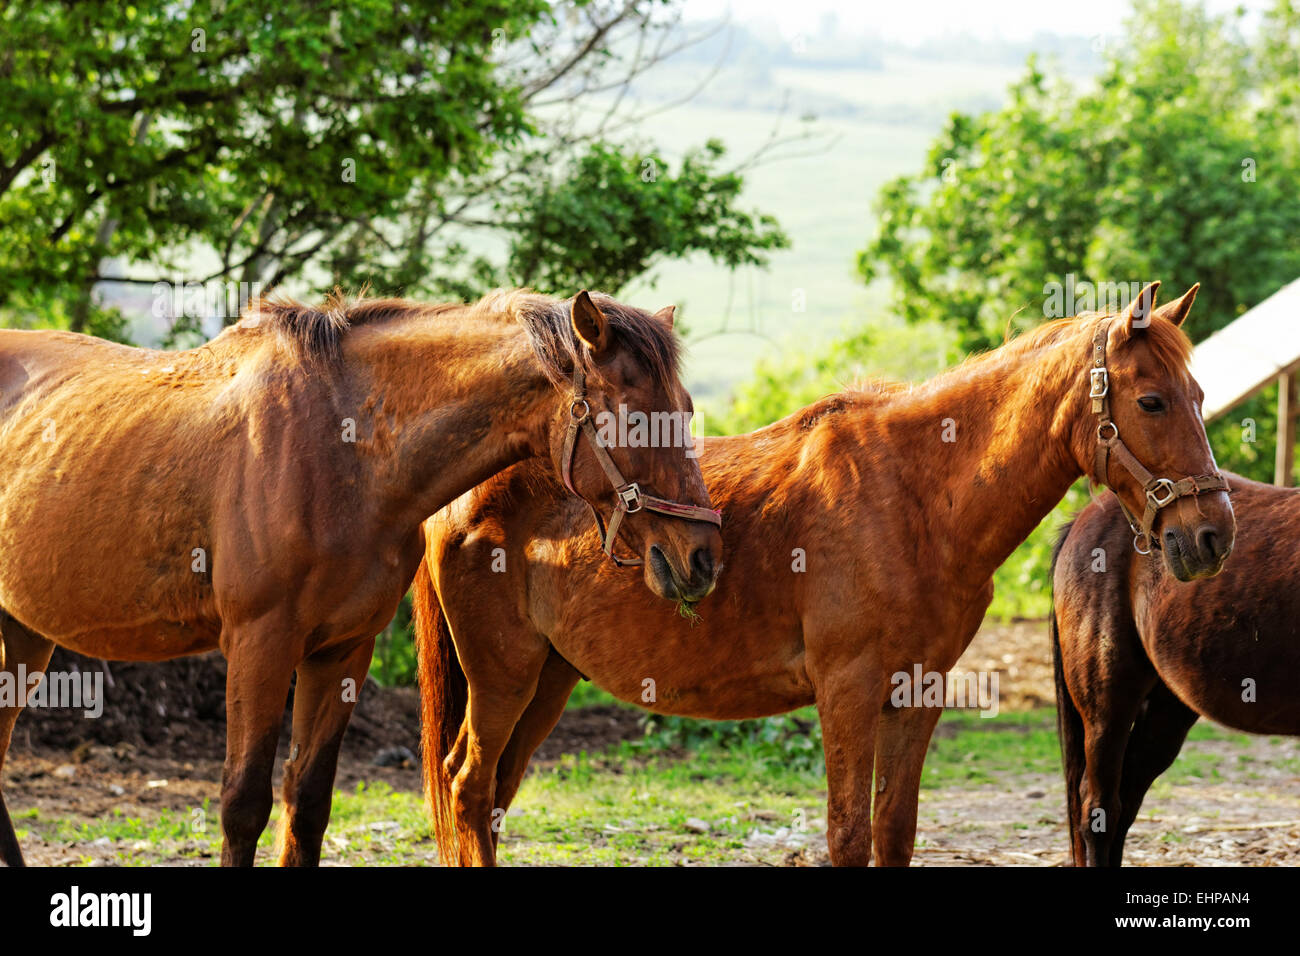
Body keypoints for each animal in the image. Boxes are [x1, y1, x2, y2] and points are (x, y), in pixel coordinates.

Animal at [0, 288, 723, 867]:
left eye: (687, 408)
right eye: (635, 417)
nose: (702, 558)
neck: (340, 450)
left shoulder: (341, 651)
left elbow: (308, 804)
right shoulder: (259, 647)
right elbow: (243, 805)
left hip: (25, 635)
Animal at [413, 281, 1235, 866]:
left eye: (1199, 396)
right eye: (1152, 401)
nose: (1212, 534)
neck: (915, 494)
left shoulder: (915, 696)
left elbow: (893, 834)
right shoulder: (847, 693)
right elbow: (847, 837)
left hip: (549, 678)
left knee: (491, 794)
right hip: (504, 675)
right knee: (468, 786)